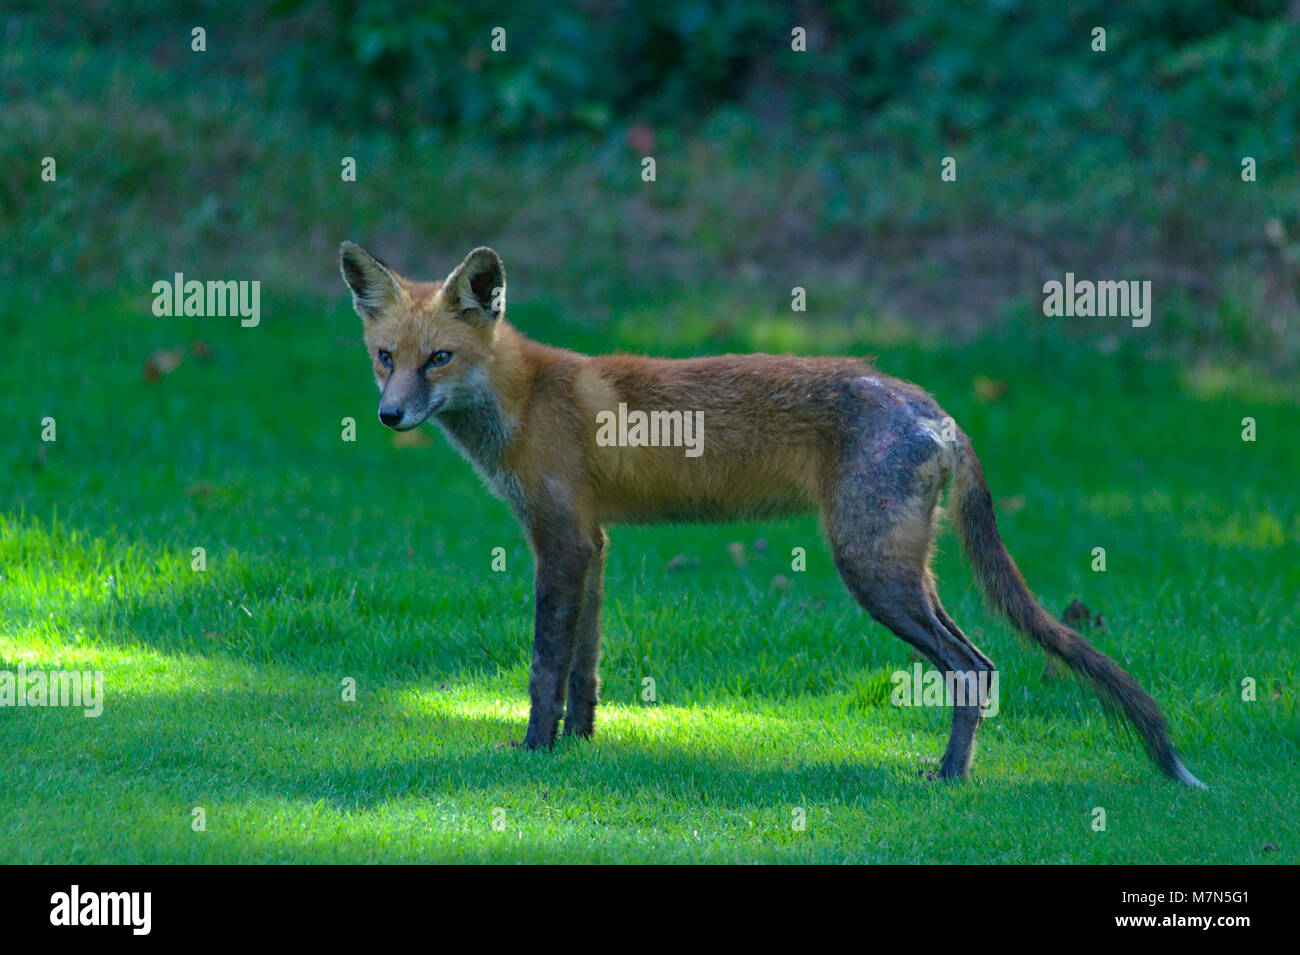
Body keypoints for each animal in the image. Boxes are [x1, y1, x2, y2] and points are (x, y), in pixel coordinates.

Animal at [339, 240, 1206, 787]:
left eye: (439, 359)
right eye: (385, 358)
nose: (388, 415)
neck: (523, 399)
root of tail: (936, 409)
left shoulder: (559, 542)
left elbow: (545, 665)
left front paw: (534, 753)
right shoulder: (593, 542)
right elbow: (586, 665)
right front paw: (581, 748)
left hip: (873, 571)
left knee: (973, 667)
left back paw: (951, 778)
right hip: (902, 571)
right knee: (983, 665)